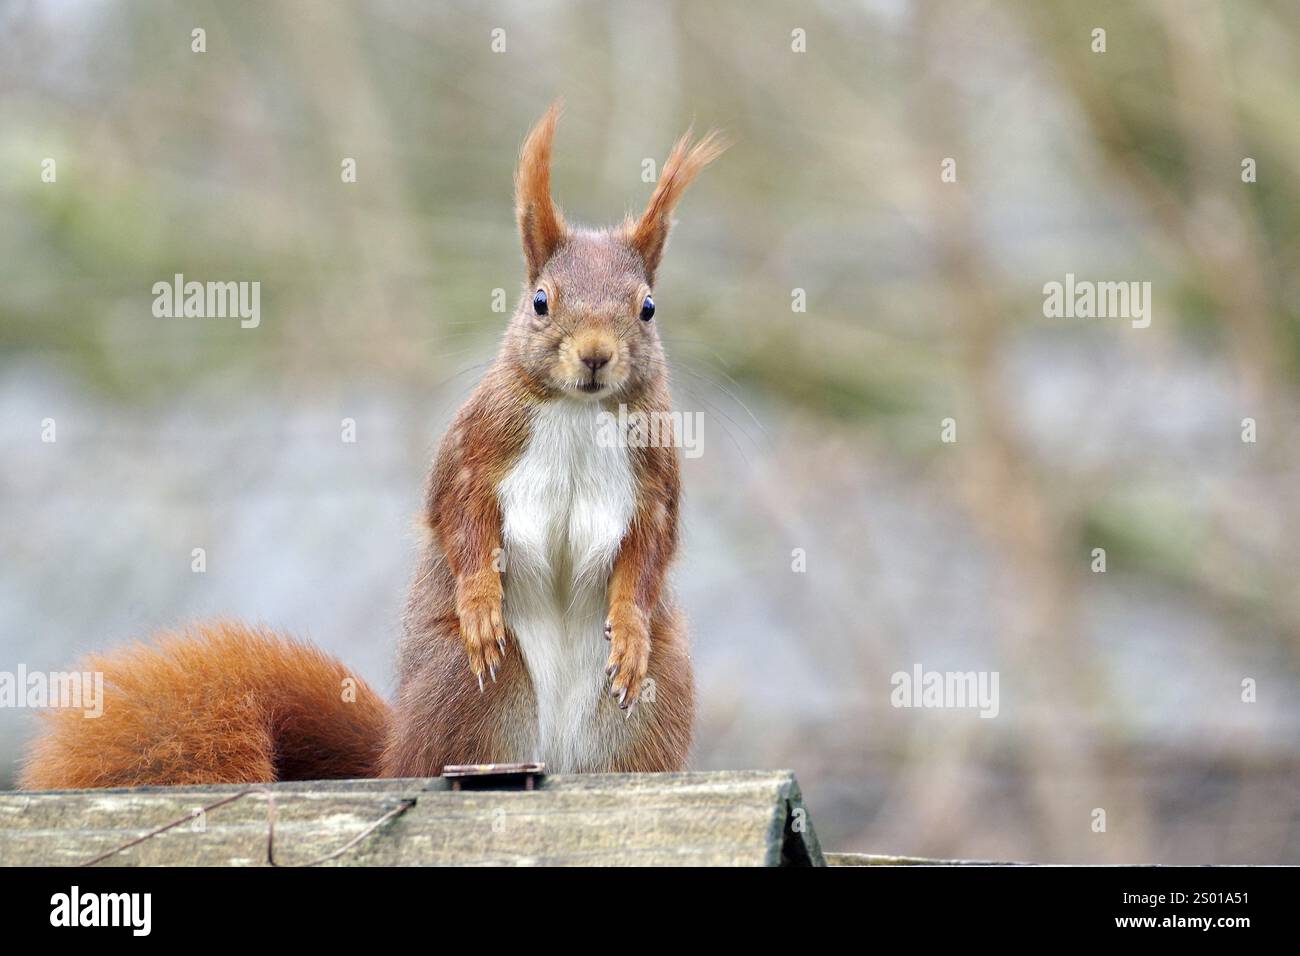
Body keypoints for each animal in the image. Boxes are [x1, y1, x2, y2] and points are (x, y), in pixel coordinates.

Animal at [19, 103, 726, 790]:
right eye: (540, 302)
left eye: (648, 308)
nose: (596, 356)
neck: (578, 412)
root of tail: (392, 758)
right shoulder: (477, 445)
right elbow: (457, 516)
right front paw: (479, 603)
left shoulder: (654, 477)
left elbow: (649, 553)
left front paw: (628, 631)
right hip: (463, 689)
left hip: (653, 706)